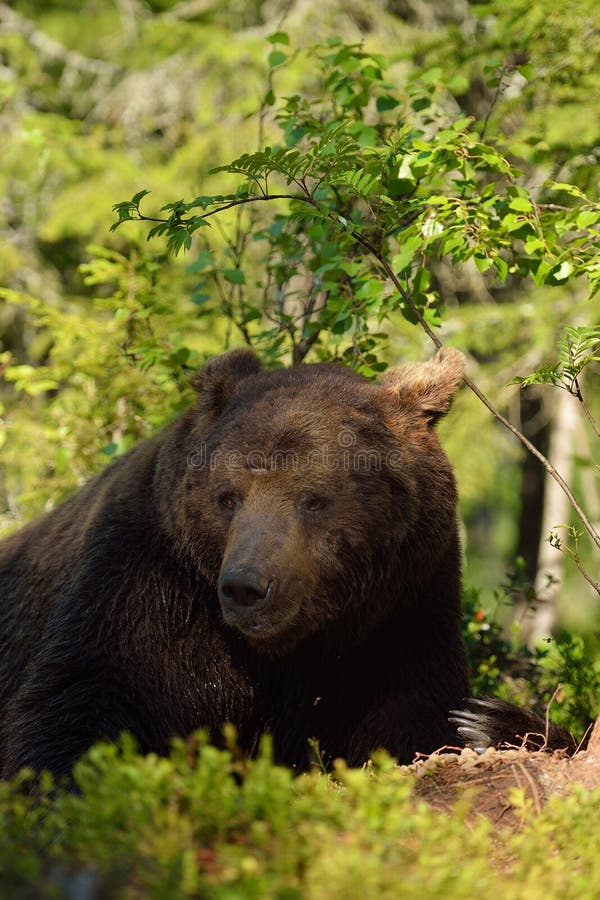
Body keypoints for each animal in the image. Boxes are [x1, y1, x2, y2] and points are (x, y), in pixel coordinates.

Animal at [1, 346, 573, 779]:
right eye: (228, 496)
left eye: (314, 499)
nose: (246, 586)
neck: (290, 649)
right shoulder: (144, 589)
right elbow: (79, 706)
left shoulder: (402, 611)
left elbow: (413, 717)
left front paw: (486, 720)